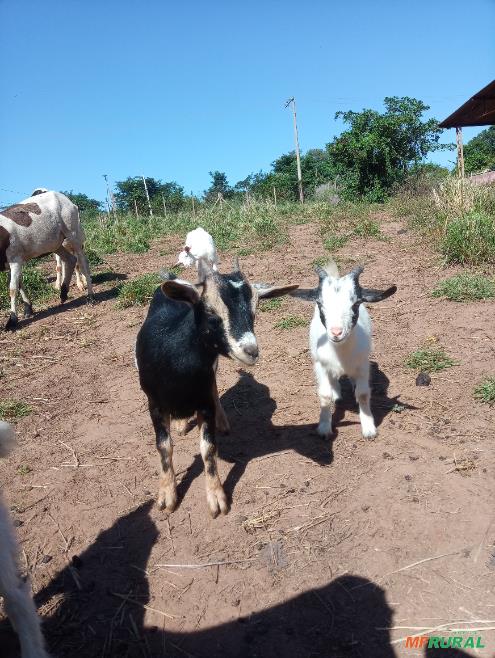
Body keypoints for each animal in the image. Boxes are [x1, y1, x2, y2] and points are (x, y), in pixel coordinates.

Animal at [0, 189, 94, 330]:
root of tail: (63, 197)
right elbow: (19, 283)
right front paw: (28, 309)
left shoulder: (15, 258)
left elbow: (13, 289)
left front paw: (12, 320)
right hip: (55, 244)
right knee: (70, 260)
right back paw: (63, 292)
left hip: (74, 234)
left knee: (82, 263)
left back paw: (90, 295)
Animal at [135, 249, 298, 517]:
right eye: (211, 313)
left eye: (254, 311)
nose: (251, 351)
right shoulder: (155, 404)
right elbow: (164, 447)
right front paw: (167, 495)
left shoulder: (204, 401)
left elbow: (208, 448)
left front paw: (216, 497)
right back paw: (180, 423)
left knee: (214, 389)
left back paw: (221, 422)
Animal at [291, 262, 396, 439]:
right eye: (320, 303)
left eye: (356, 303)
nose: (336, 332)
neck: (340, 352)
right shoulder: (320, 365)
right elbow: (325, 395)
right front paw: (324, 428)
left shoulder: (363, 365)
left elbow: (363, 394)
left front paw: (369, 429)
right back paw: (337, 394)